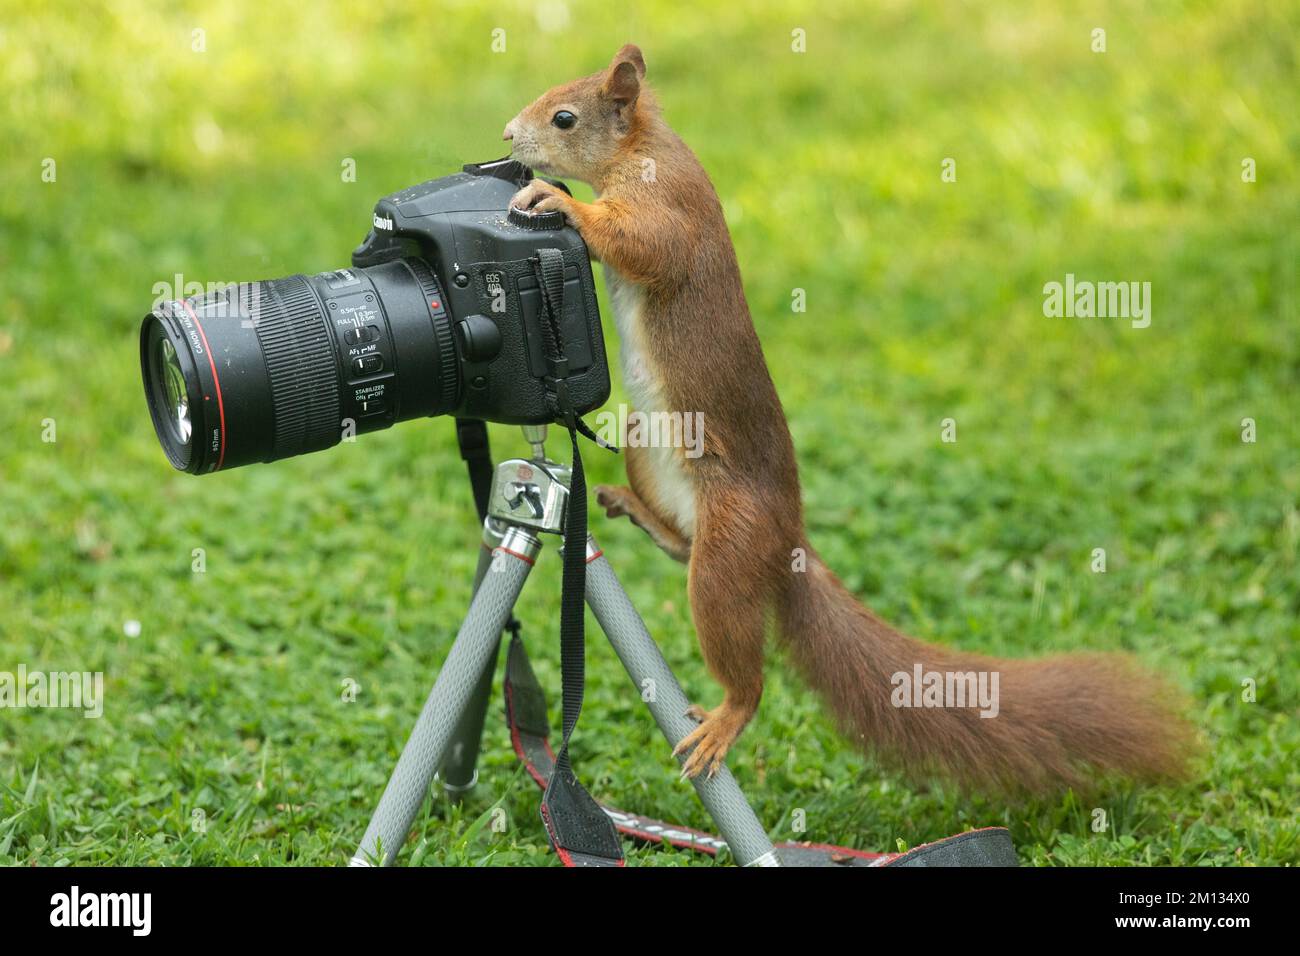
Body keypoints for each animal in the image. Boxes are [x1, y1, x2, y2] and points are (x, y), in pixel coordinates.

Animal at [503, 44, 1196, 789]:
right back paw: (639, 513)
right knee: (681, 544)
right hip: (645, 439)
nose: (509, 136)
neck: (642, 149)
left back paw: (727, 718)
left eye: (565, 117)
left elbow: (644, 244)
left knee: (734, 640)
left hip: (730, 547)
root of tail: (788, 539)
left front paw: (559, 201)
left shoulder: (667, 206)